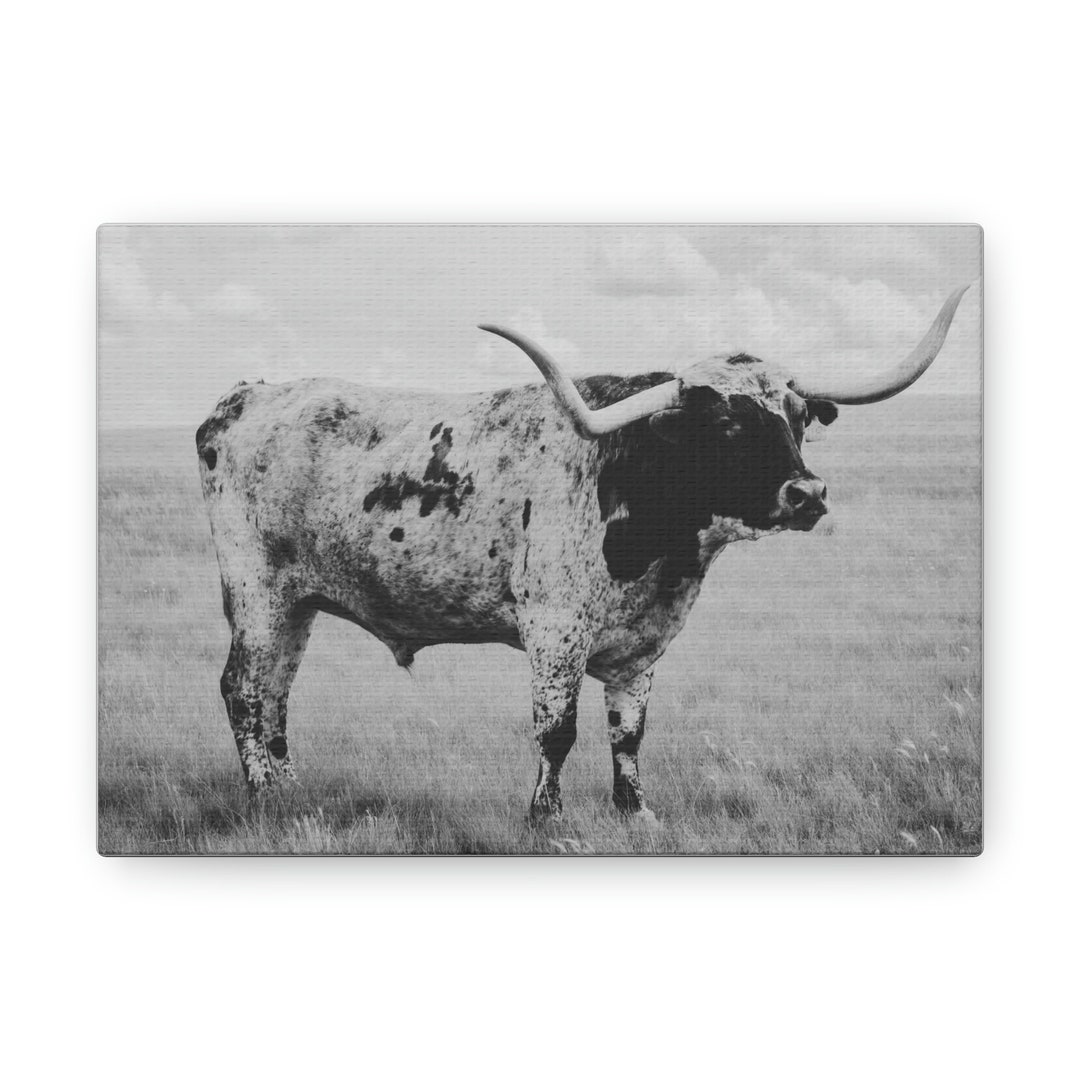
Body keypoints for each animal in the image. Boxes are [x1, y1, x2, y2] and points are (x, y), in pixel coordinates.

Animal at [196, 286, 969, 821]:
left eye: (799, 417)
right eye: (724, 424)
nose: (807, 493)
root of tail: (243, 398)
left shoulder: (642, 645)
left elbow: (628, 733)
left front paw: (637, 812)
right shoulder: (555, 630)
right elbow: (556, 729)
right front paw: (548, 818)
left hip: (298, 603)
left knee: (277, 696)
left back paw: (291, 792)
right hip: (256, 593)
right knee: (244, 691)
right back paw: (263, 796)